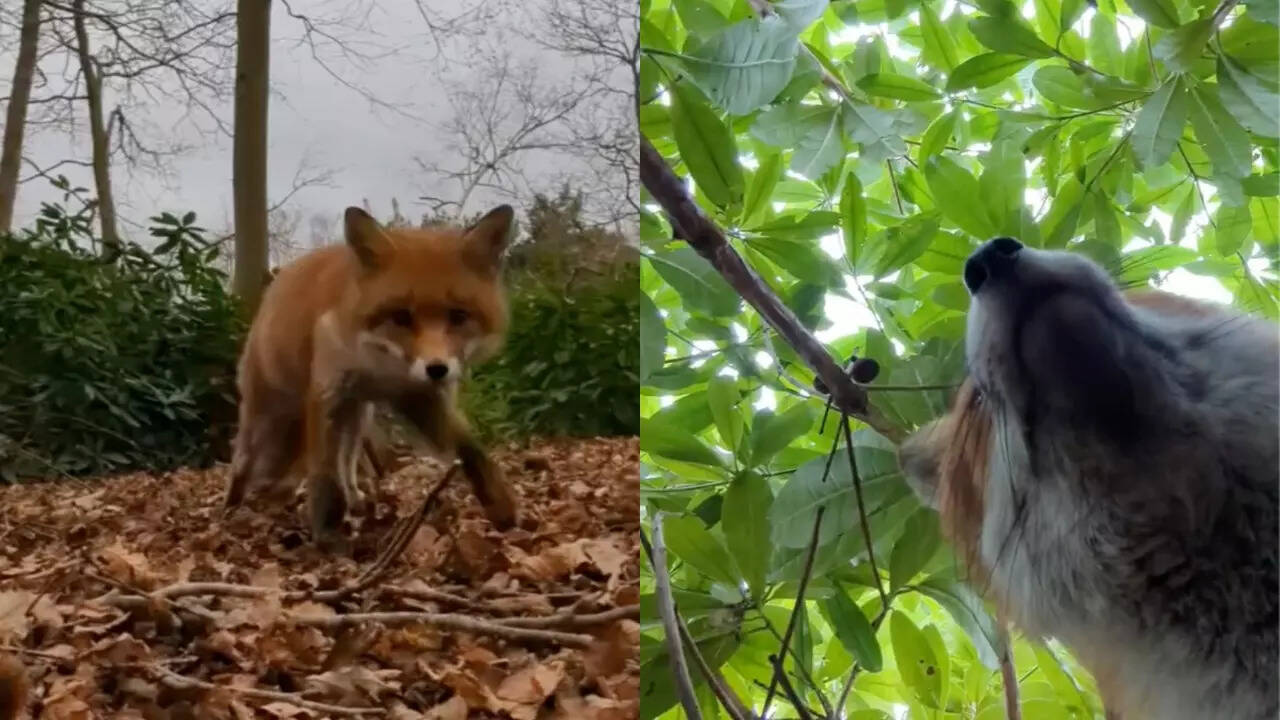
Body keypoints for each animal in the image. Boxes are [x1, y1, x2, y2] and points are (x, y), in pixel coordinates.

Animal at [223, 205, 521, 551]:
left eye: (458, 316)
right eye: (401, 316)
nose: (437, 369)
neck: (379, 367)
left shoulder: (417, 396)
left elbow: (470, 448)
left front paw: (500, 505)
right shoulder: (328, 393)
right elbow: (324, 474)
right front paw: (327, 535)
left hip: (357, 416)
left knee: (348, 462)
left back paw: (355, 500)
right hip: (264, 416)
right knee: (242, 459)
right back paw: (230, 508)